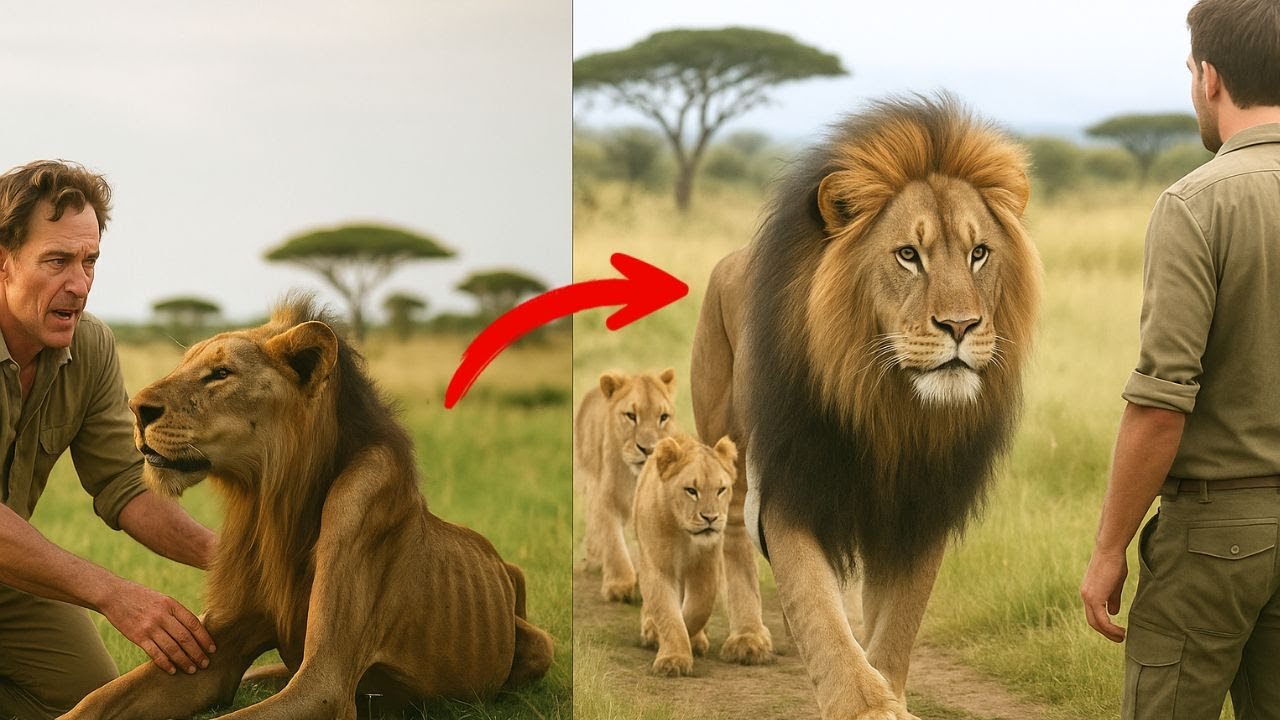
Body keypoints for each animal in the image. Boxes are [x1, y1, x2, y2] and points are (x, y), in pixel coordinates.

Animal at [61, 298, 555, 720]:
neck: (273, 502)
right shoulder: (209, 653)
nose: (136, 409)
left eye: (220, 373)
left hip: (538, 646)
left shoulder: (324, 684)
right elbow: (93, 701)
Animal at [574, 368, 677, 602]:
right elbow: (614, 542)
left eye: (663, 417)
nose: (648, 449)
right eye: (631, 416)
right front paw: (619, 585)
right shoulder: (606, 498)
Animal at [634, 434, 736, 677]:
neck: (683, 535)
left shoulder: (706, 569)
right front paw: (673, 658)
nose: (710, 517)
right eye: (691, 490)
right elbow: (668, 613)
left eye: (721, 489)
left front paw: (689, 641)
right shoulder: (657, 568)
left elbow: (697, 610)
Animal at [690, 94, 1040, 719]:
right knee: (729, 530)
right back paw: (750, 636)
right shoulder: (790, 491)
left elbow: (897, 625)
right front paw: (864, 705)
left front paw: (889, 693)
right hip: (725, 441)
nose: (961, 326)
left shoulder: (919, 511)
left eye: (979, 254)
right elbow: (820, 613)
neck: (889, 408)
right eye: (908, 255)